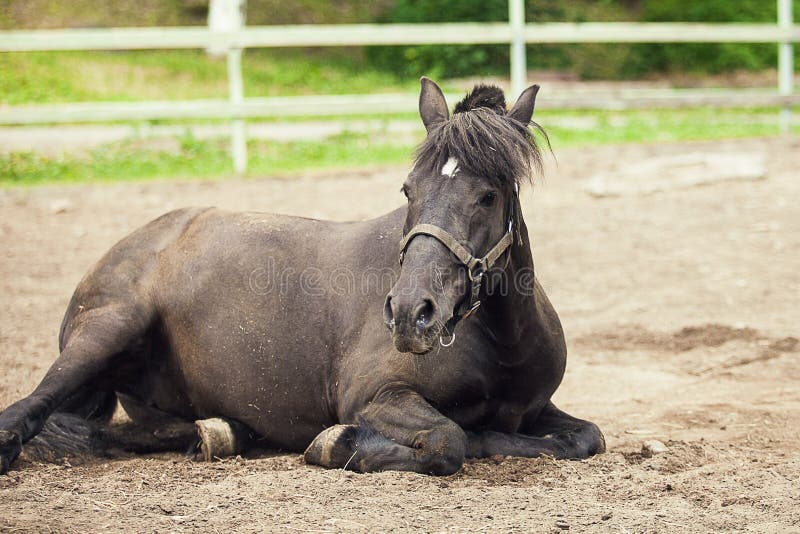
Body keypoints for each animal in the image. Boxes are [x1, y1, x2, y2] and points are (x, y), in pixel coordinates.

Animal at [0, 77, 604, 476]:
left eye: (487, 196)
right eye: (408, 190)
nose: (411, 314)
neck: (500, 342)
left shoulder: (538, 409)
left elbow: (587, 438)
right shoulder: (376, 395)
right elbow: (449, 439)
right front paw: (337, 444)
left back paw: (223, 432)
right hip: (108, 330)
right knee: (28, 415)